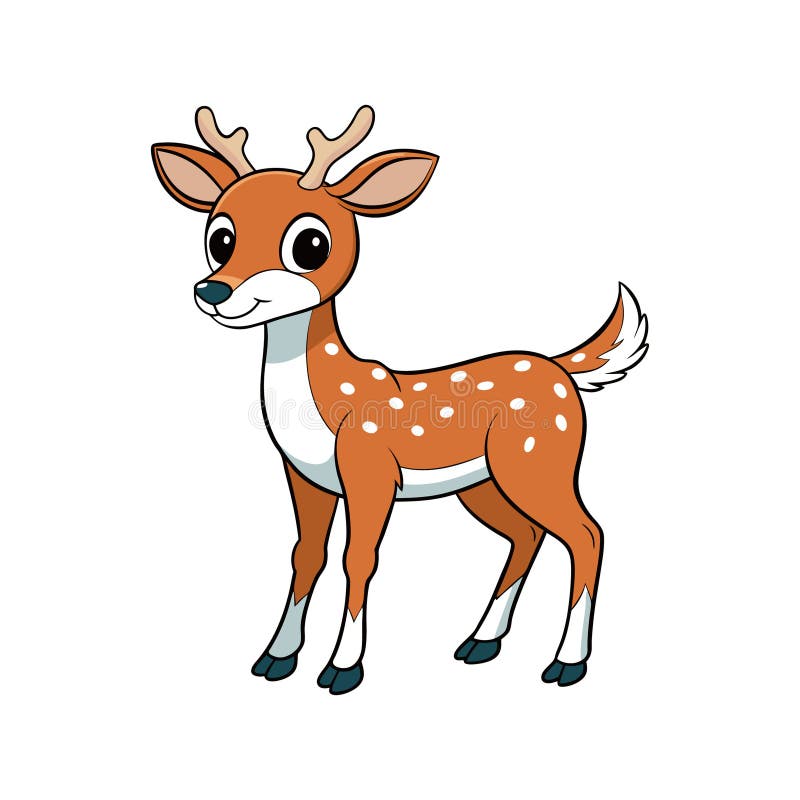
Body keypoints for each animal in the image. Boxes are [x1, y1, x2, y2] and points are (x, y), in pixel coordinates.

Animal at [151, 105, 648, 695]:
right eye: (220, 236)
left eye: (310, 244)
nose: (214, 291)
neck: (329, 400)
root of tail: (562, 368)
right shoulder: (305, 476)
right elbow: (306, 555)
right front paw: (275, 657)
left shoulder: (371, 470)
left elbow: (358, 558)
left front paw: (342, 668)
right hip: (483, 484)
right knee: (528, 535)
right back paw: (480, 642)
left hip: (538, 461)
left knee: (587, 534)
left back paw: (566, 664)